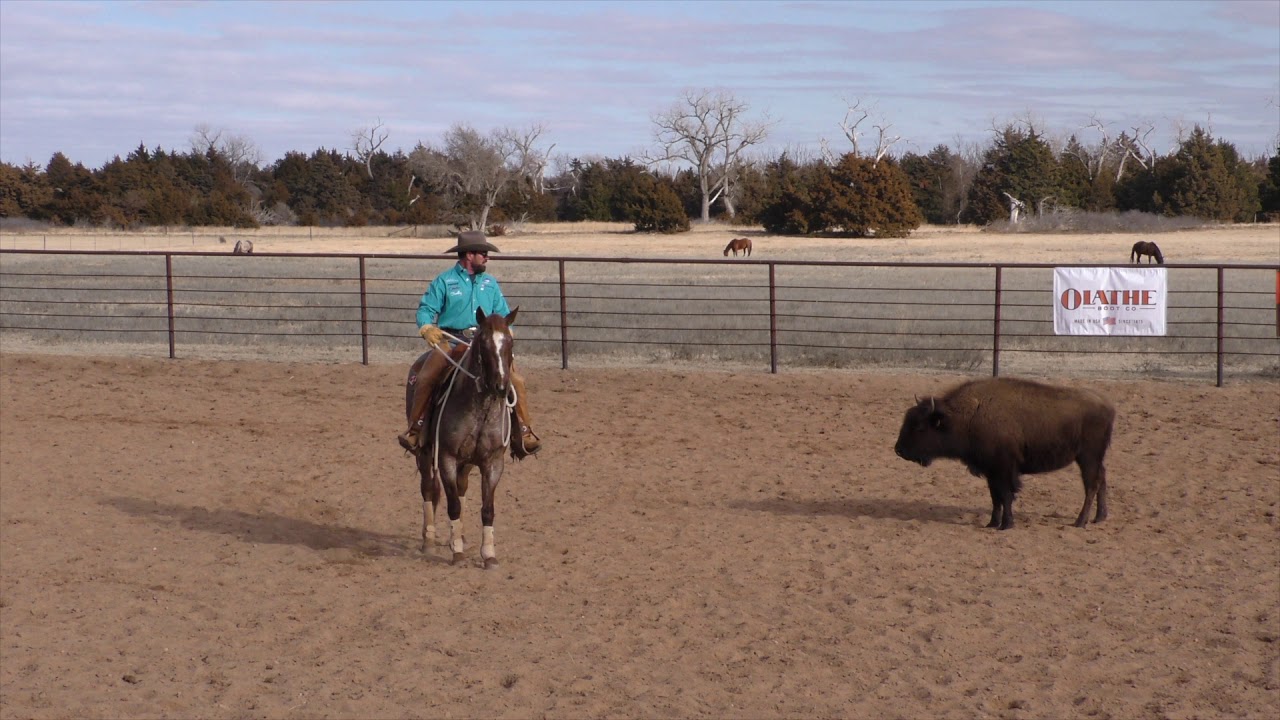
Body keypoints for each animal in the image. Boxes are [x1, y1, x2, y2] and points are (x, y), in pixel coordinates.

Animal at [893, 377, 1115, 530]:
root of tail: (1107, 404)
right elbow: (995, 498)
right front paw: (992, 523)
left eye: (920, 427)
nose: (899, 450)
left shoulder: (1004, 470)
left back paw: (1080, 522)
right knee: (1102, 479)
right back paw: (1099, 517)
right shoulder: (991, 472)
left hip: (1087, 457)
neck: (969, 415)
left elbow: (1006, 495)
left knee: (1091, 485)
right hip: (1094, 458)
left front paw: (1006, 525)